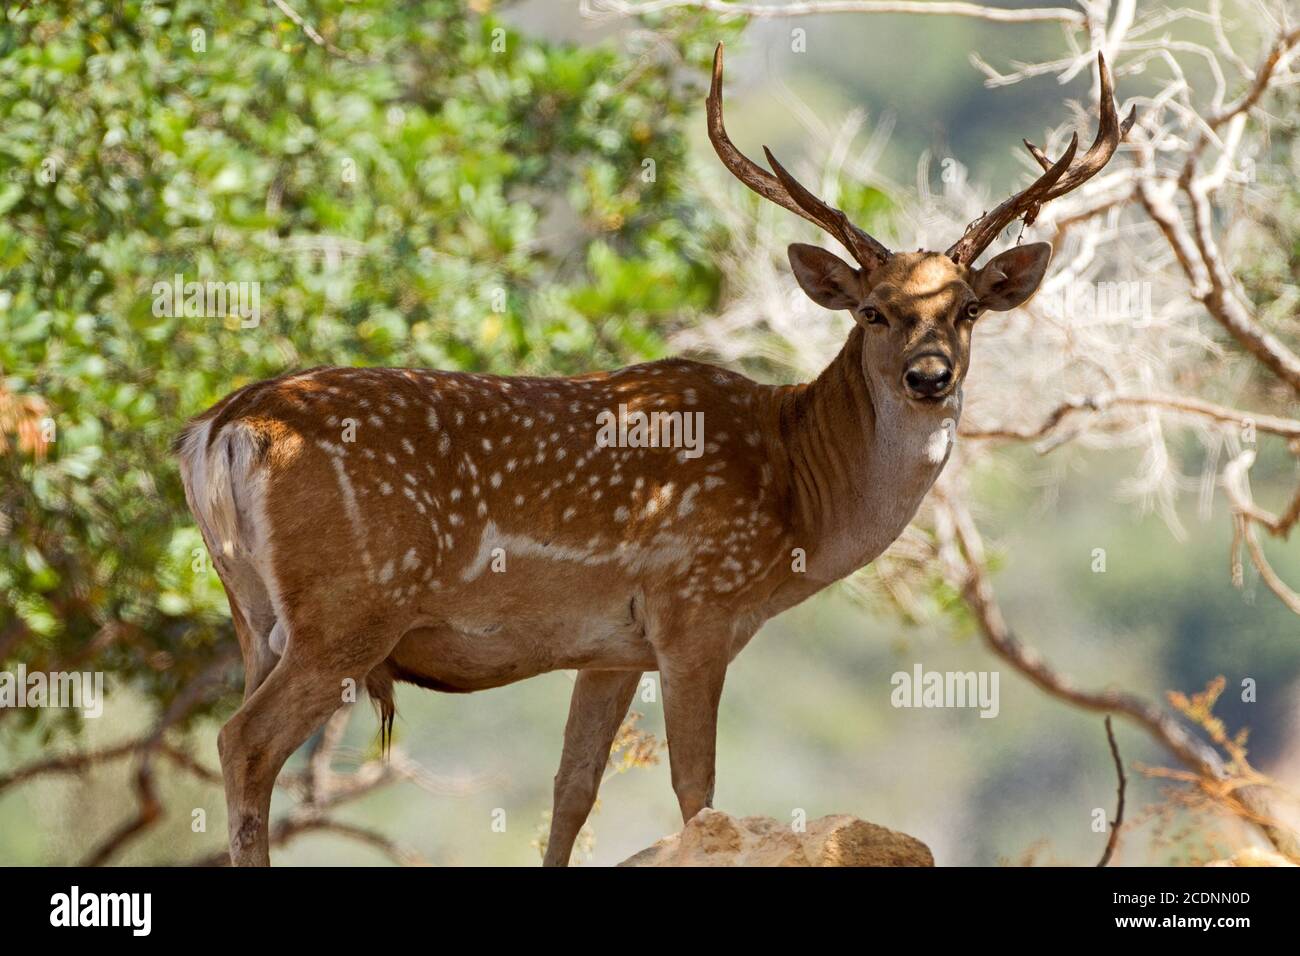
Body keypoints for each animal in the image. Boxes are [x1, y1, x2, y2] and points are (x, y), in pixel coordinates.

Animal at [175, 43, 1132, 866]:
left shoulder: (607, 647)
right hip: (348, 606)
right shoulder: (693, 605)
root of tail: (222, 429)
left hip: (253, 611)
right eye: (874, 311)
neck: (799, 495)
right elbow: (697, 794)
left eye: (967, 309)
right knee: (242, 742)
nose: (929, 377)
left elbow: (571, 794)